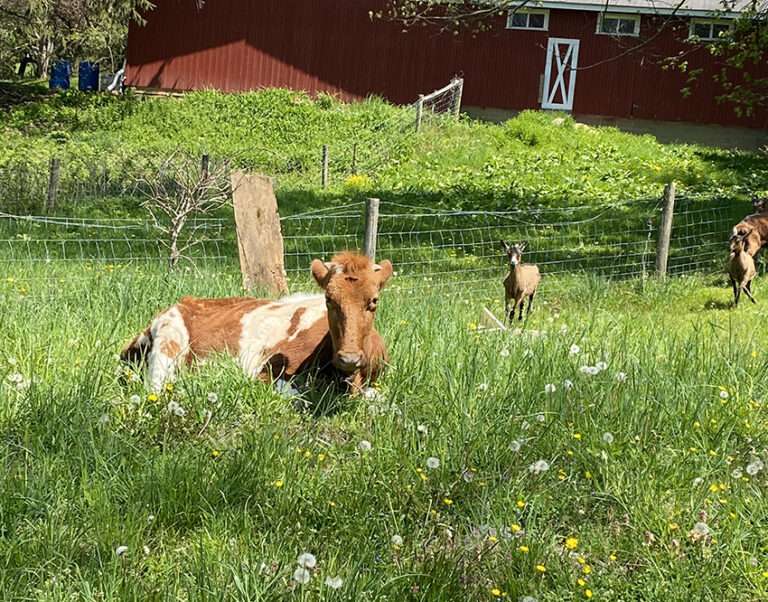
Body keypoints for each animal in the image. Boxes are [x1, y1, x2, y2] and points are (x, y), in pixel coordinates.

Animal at [121, 252, 393, 395]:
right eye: (328, 299)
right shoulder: (263, 373)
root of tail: (185, 301)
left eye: (374, 300)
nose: (349, 358)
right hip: (167, 344)